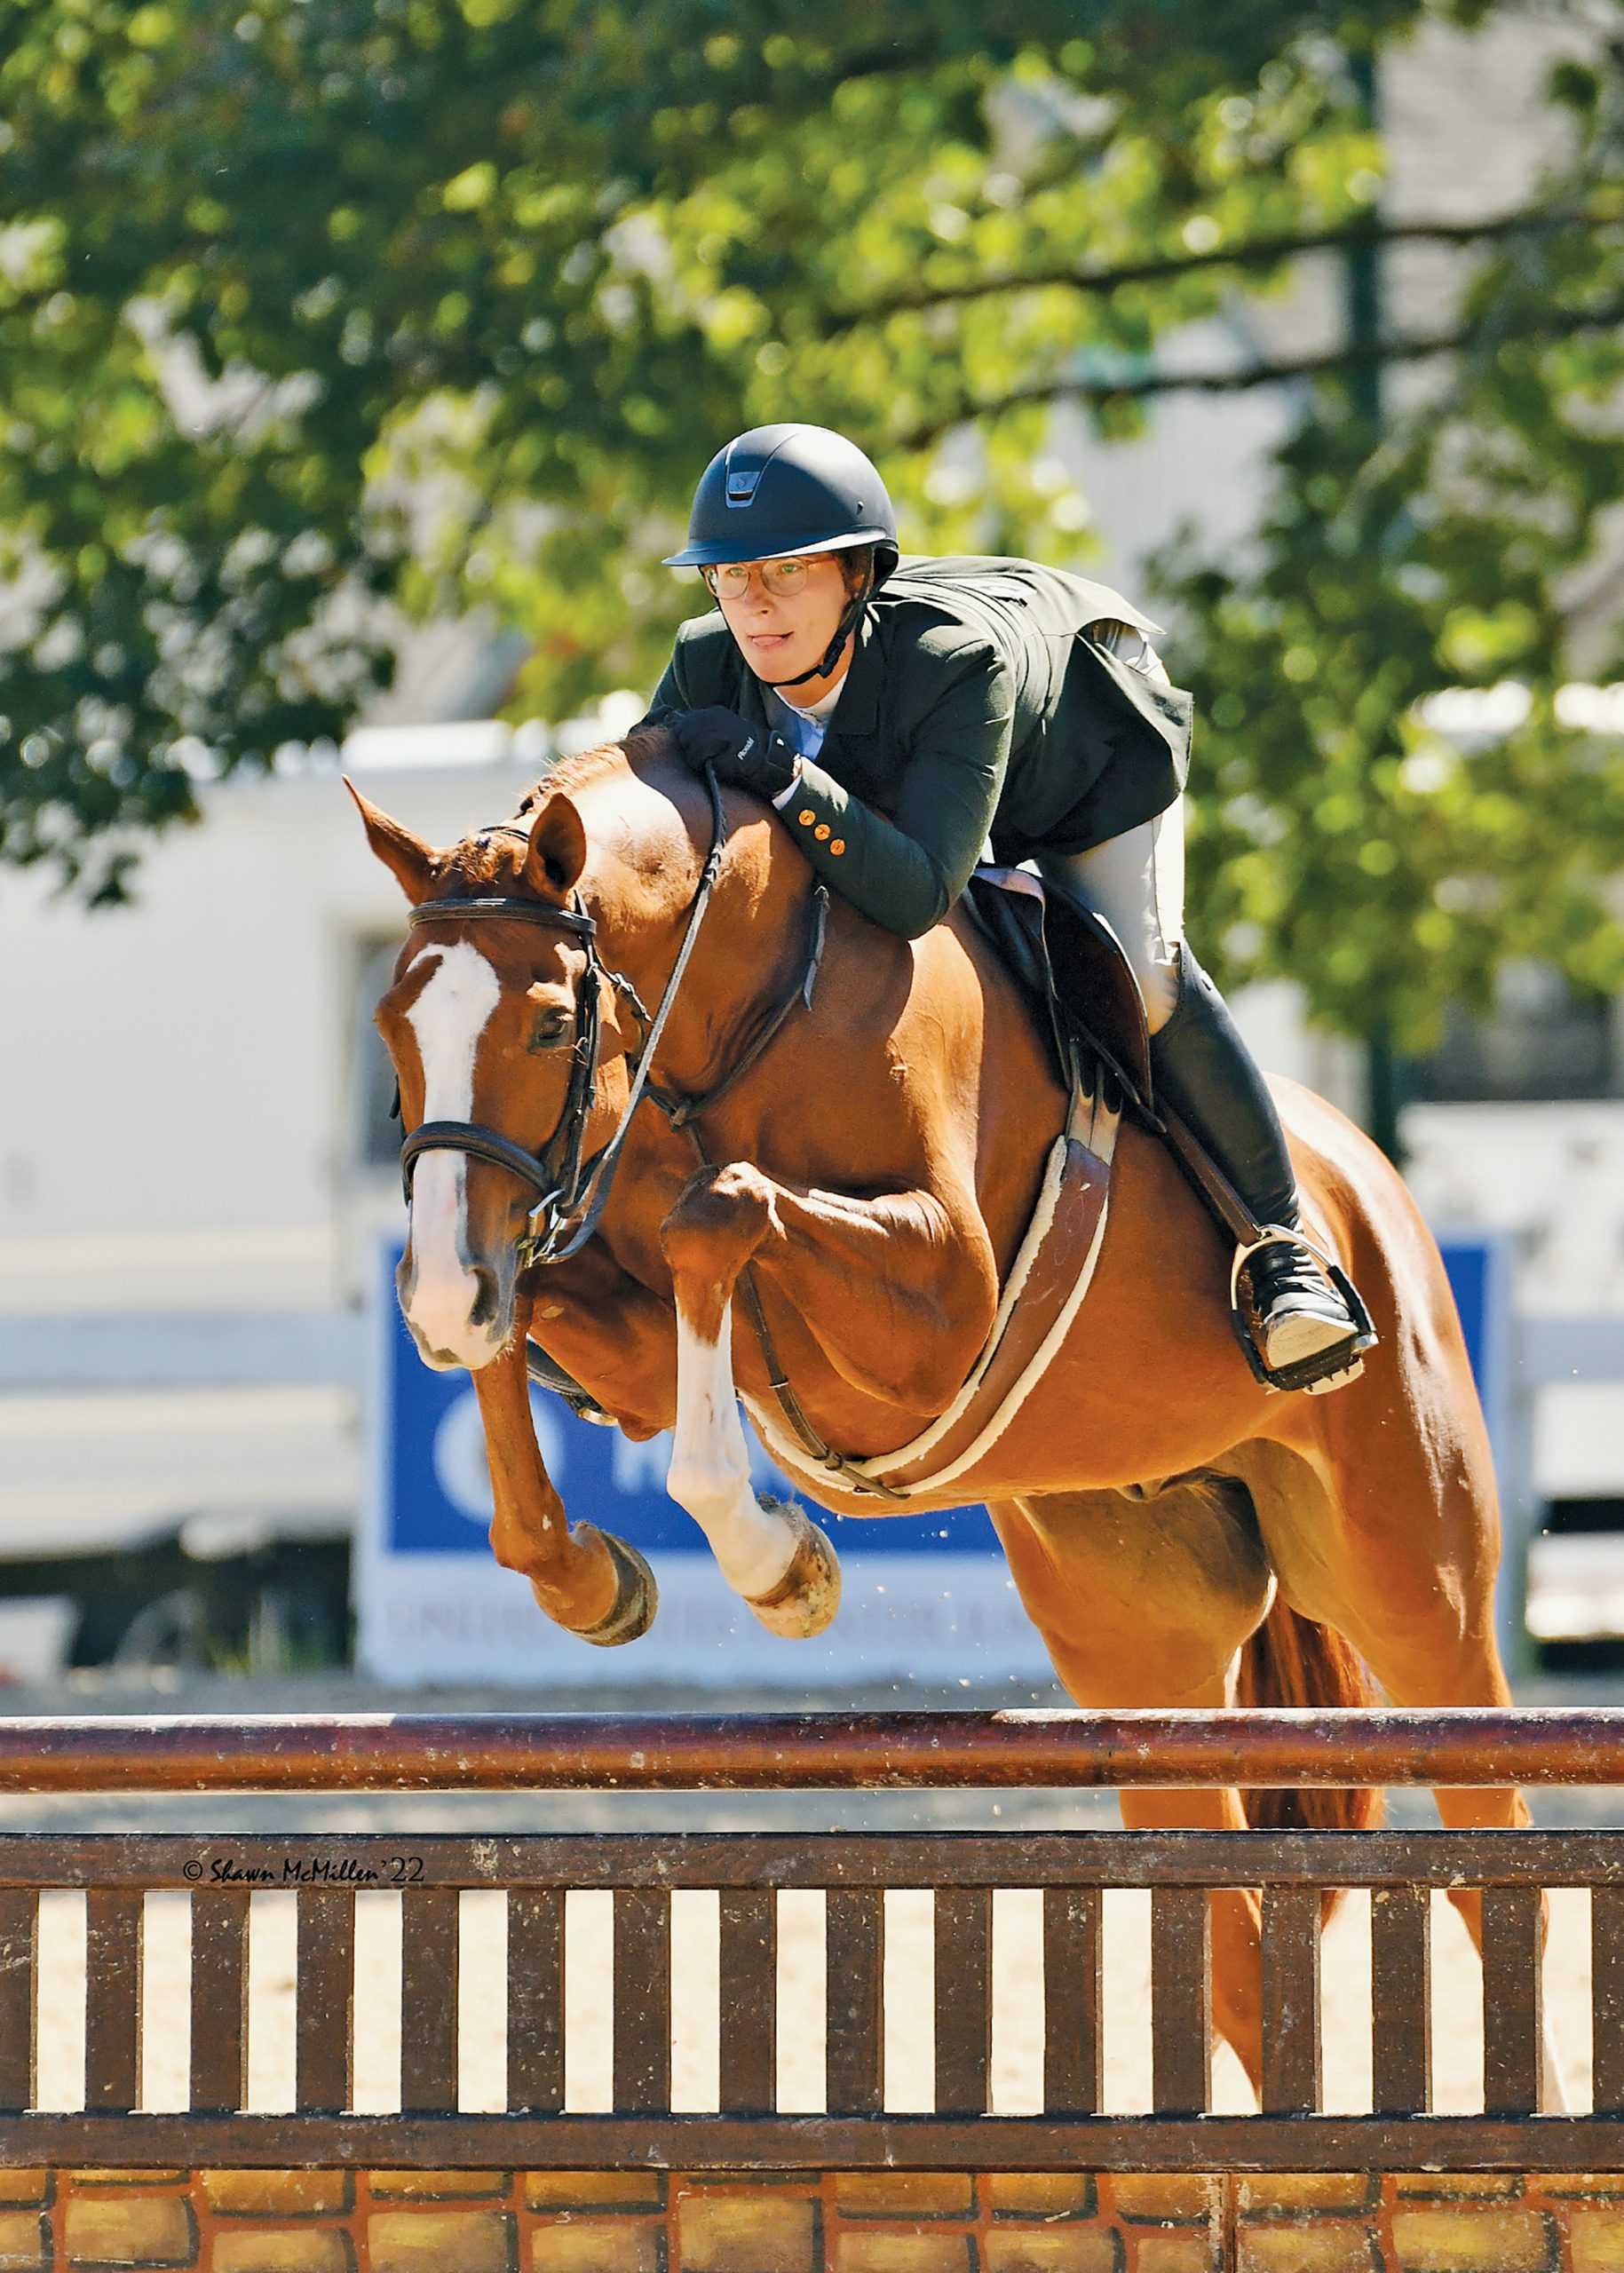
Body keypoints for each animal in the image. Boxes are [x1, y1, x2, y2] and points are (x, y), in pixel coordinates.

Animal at [353, 723, 1537, 2096]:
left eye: (549, 1028)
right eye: (388, 1024)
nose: (440, 1292)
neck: (738, 1024)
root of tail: (1360, 1170)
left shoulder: (942, 1308)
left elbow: (722, 1210)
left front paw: (779, 1566)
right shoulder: (631, 1340)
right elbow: (544, 1319)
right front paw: (591, 1577)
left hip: (1417, 1591)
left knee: (1491, 1853)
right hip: (1142, 1647)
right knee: (1234, 1945)